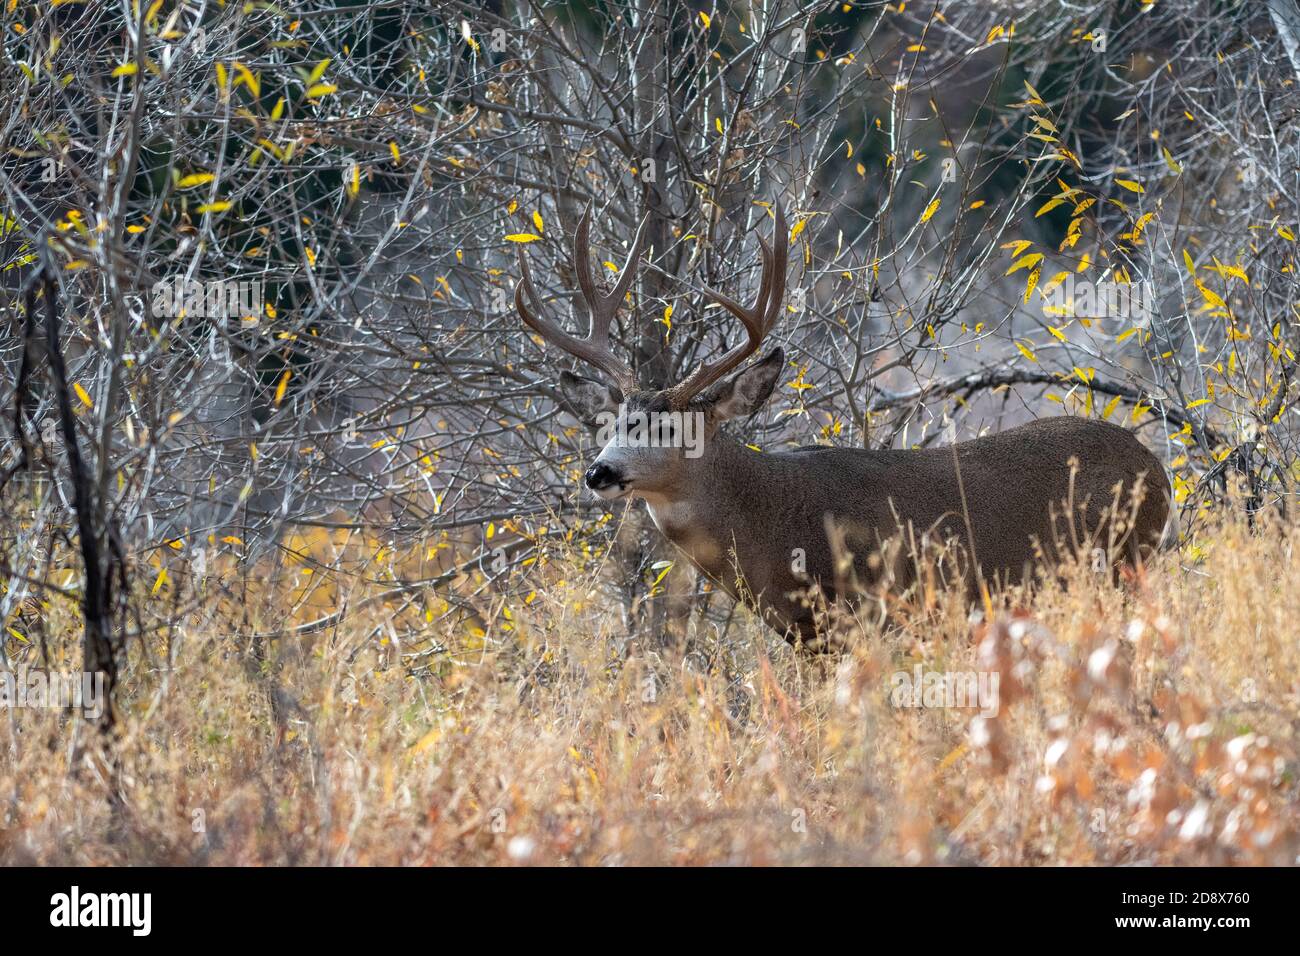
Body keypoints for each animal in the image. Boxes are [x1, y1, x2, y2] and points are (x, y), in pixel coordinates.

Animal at [514, 201, 1173, 647]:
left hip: (1121, 563)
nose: (599, 472)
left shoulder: (866, 614)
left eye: (674, 429)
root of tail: (1157, 469)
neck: (771, 520)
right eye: (611, 421)